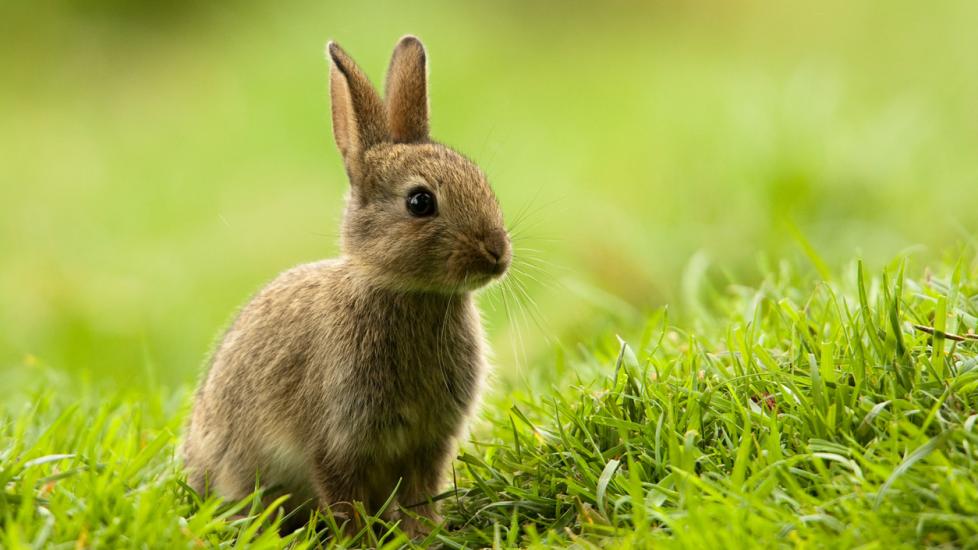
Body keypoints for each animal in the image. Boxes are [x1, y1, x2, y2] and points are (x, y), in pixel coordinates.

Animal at [182, 35, 511, 537]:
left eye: (482, 181)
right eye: (420, 202)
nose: (497, 252)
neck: (407, 292)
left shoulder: (428, 442)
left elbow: (420, 493)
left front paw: (425, 534)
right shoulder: (336, 438)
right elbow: (343, 496)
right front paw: (363, 540)